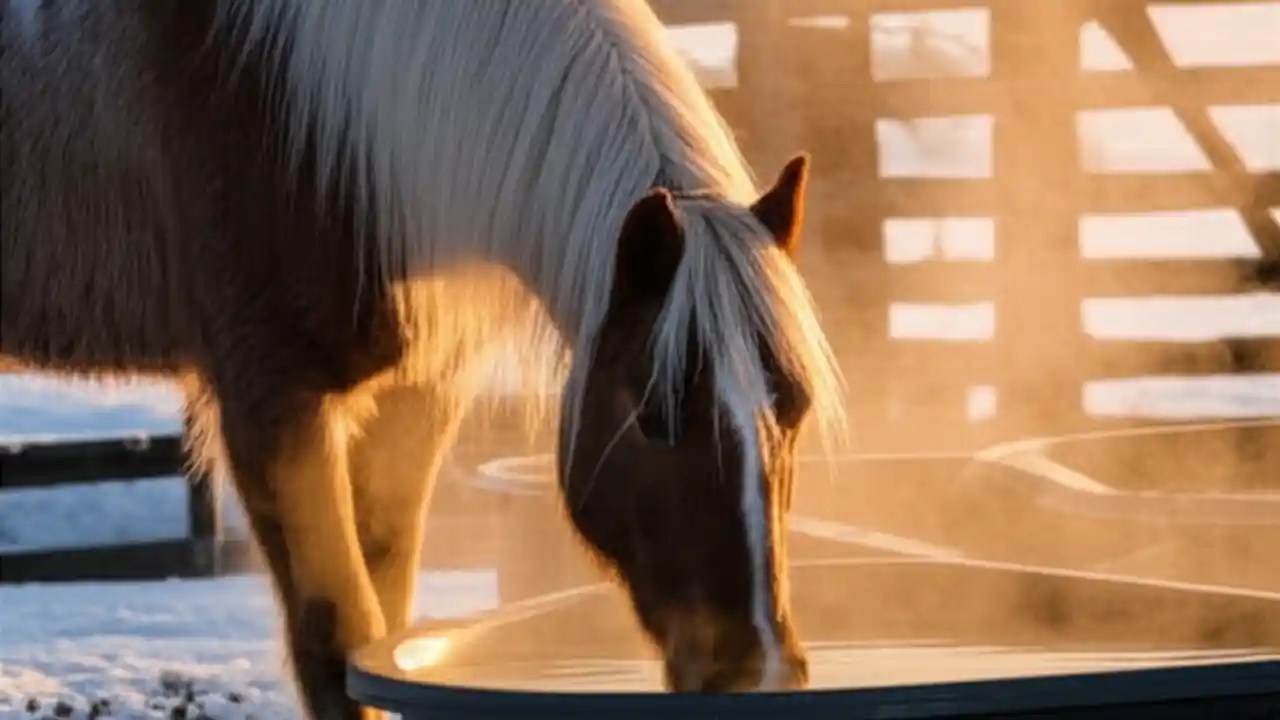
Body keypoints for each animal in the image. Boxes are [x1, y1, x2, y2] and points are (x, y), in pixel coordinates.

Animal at [1, 1, 845, 717]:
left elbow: (386, 625)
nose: (759, 676)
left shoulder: (417, 396)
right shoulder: (268, 397)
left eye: (793, 408)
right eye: (651, 414)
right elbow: (335, 642)